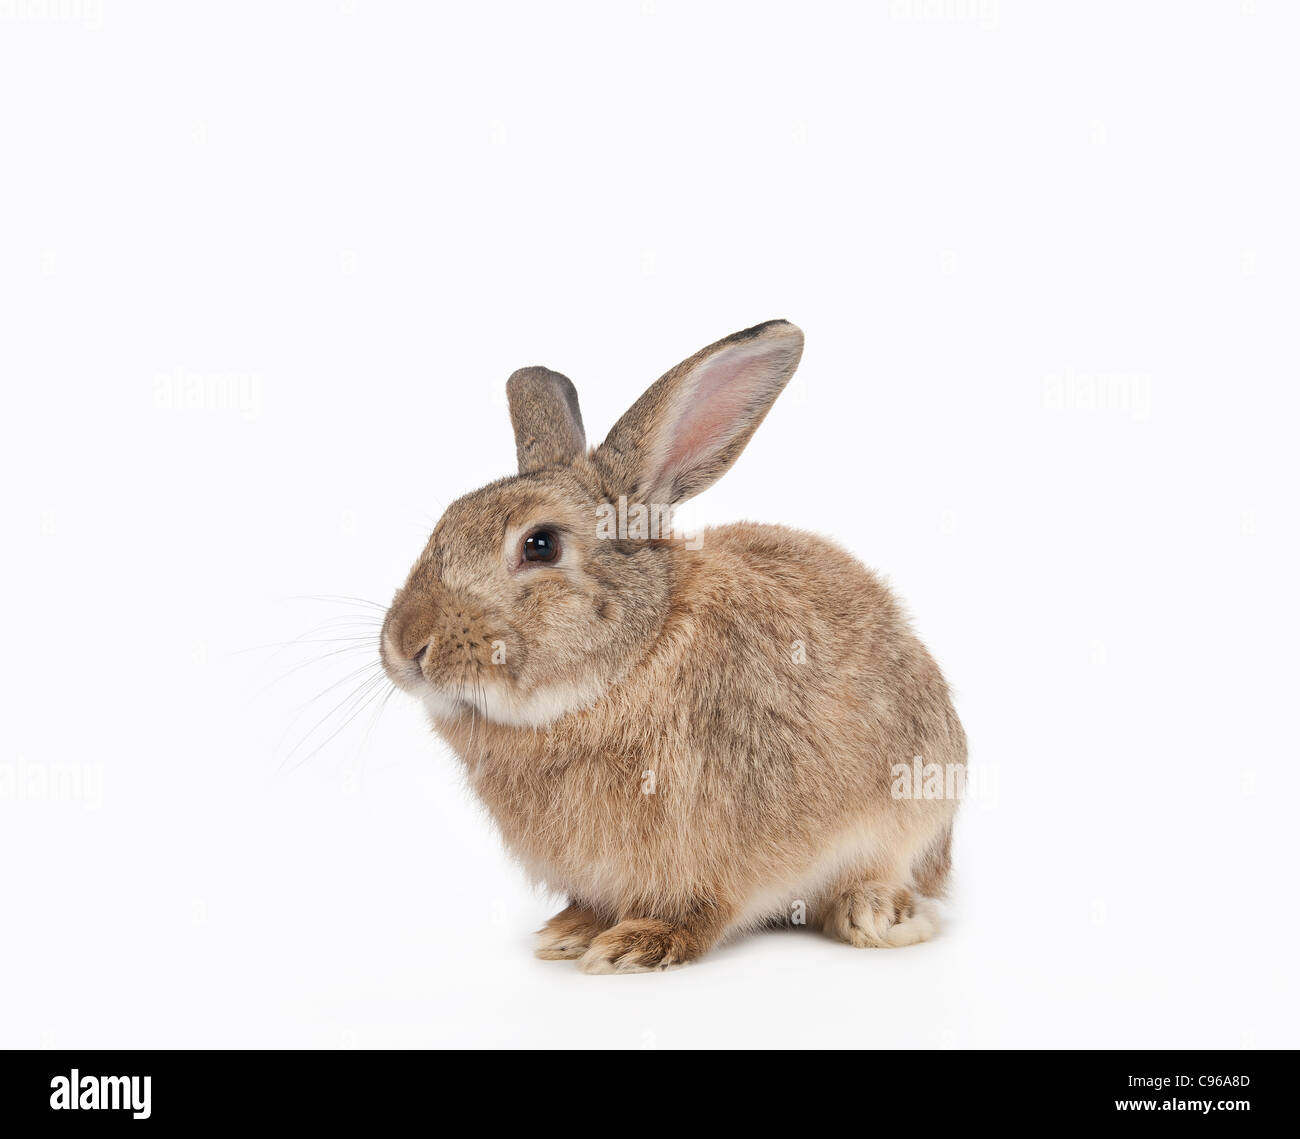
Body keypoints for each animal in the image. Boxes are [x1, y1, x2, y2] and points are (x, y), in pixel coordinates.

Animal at [380, 319, 966, 973]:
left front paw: (635, 945)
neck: (630, 662)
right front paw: (571, 932)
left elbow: (699, 909)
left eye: (540, 544)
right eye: (446, 523)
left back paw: (878, 914)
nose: (406, 645)